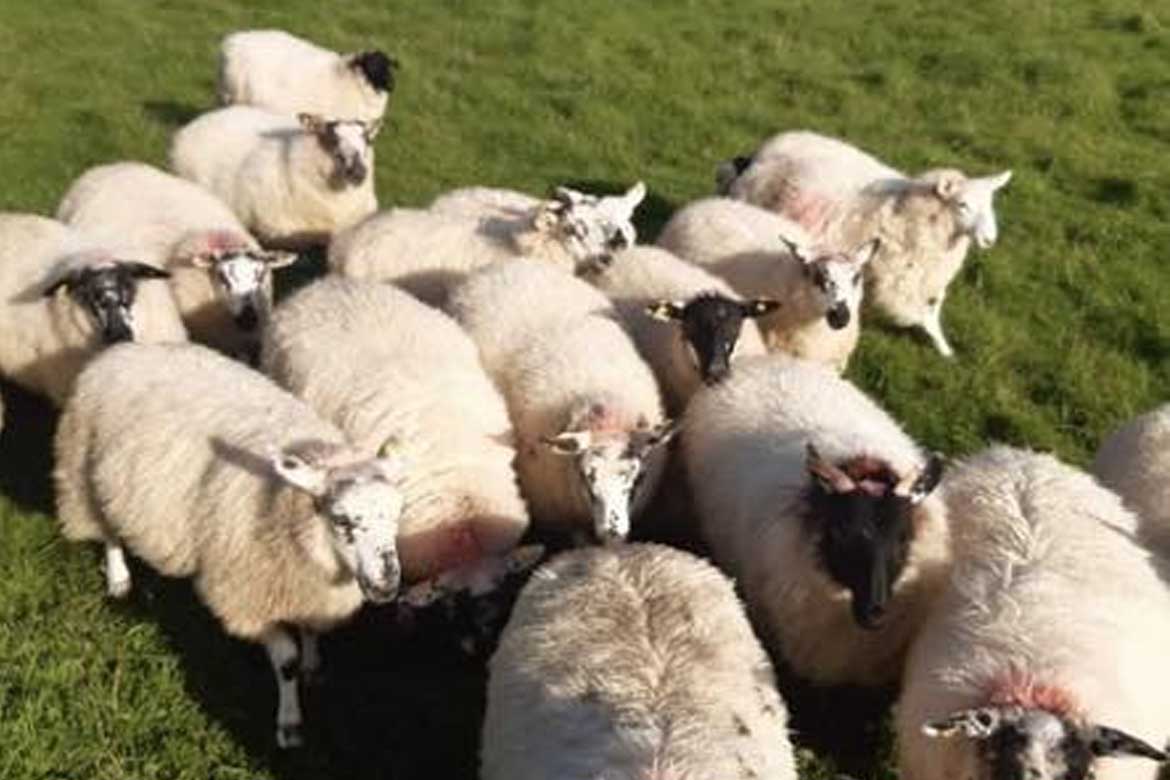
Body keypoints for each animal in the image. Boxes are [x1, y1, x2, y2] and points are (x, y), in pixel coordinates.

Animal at [54, 341, 407, 749]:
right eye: (343, 520)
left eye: (398, 514)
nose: (387, 584)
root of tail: (124, 349)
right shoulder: (246, 594)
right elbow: (285, 661)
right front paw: (289, 723)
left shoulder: (308, 589)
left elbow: (310, 632)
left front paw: (312, 665)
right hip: (83, 470)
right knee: (107, 532)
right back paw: (118, 579)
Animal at [719, 131, 1011, 357]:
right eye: (963, 205)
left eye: (990, 204)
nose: (990, 239)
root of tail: (759, 154)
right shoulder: (900, 281)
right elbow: (921, 315)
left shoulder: (924, 277)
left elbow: (933, 309)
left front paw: (944, 349)